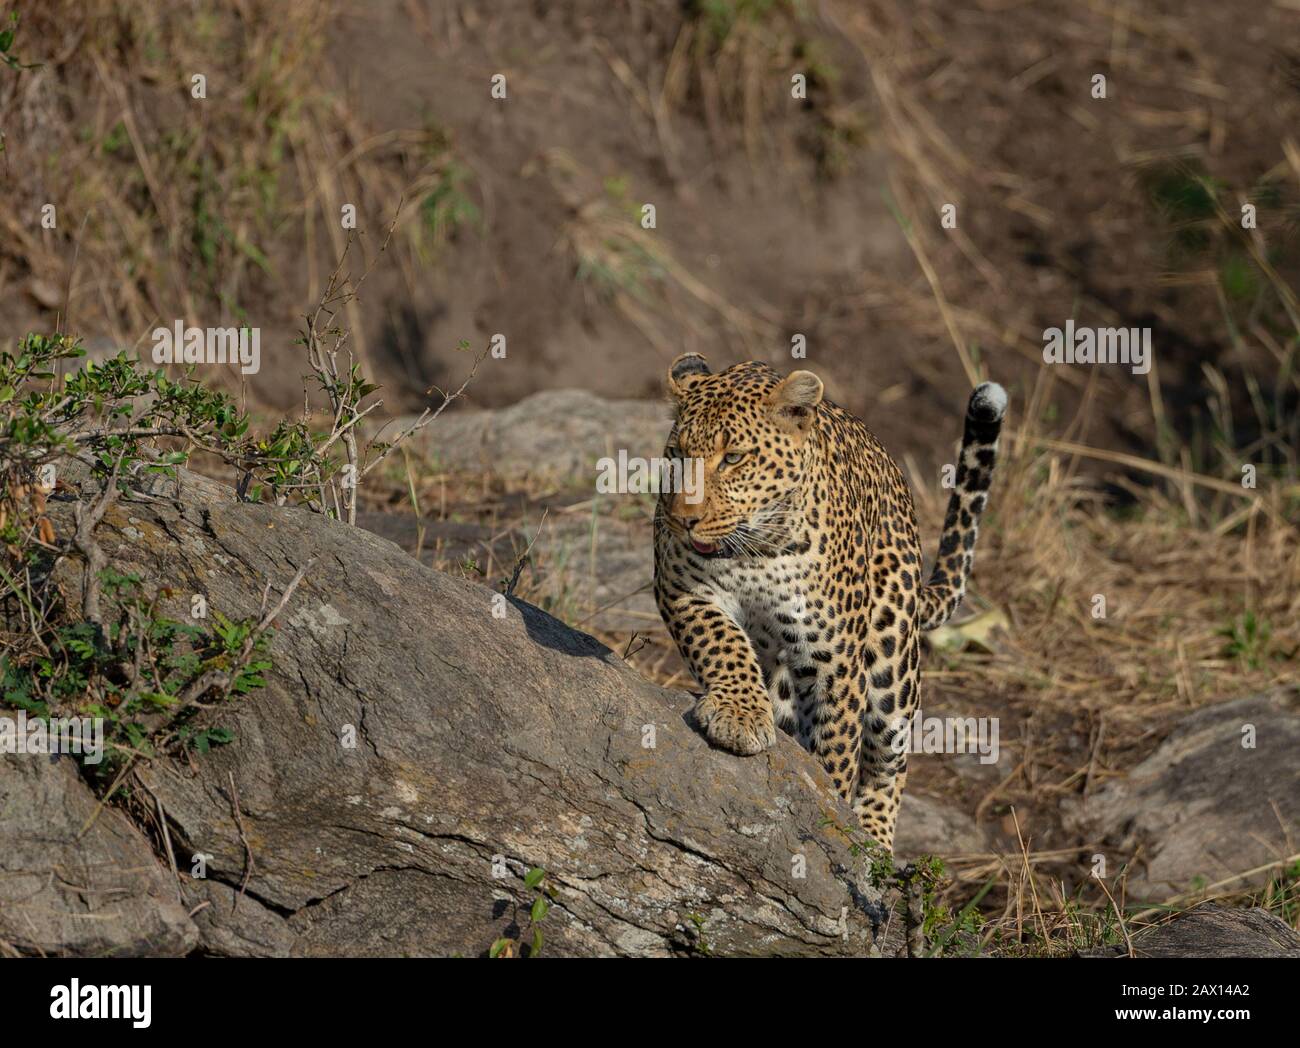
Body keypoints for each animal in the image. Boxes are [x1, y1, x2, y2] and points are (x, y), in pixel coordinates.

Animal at [653, 353, 1006, 850]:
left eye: (733, 458)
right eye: (678, 455)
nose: (684, 519)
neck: (756, 552)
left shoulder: (833, 658)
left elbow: (836, 748)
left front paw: (831, 813)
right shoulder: (681, 588)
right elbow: (721, 642)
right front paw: (740, 715)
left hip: (893, 659)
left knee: (890, 760)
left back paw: (875, 840)